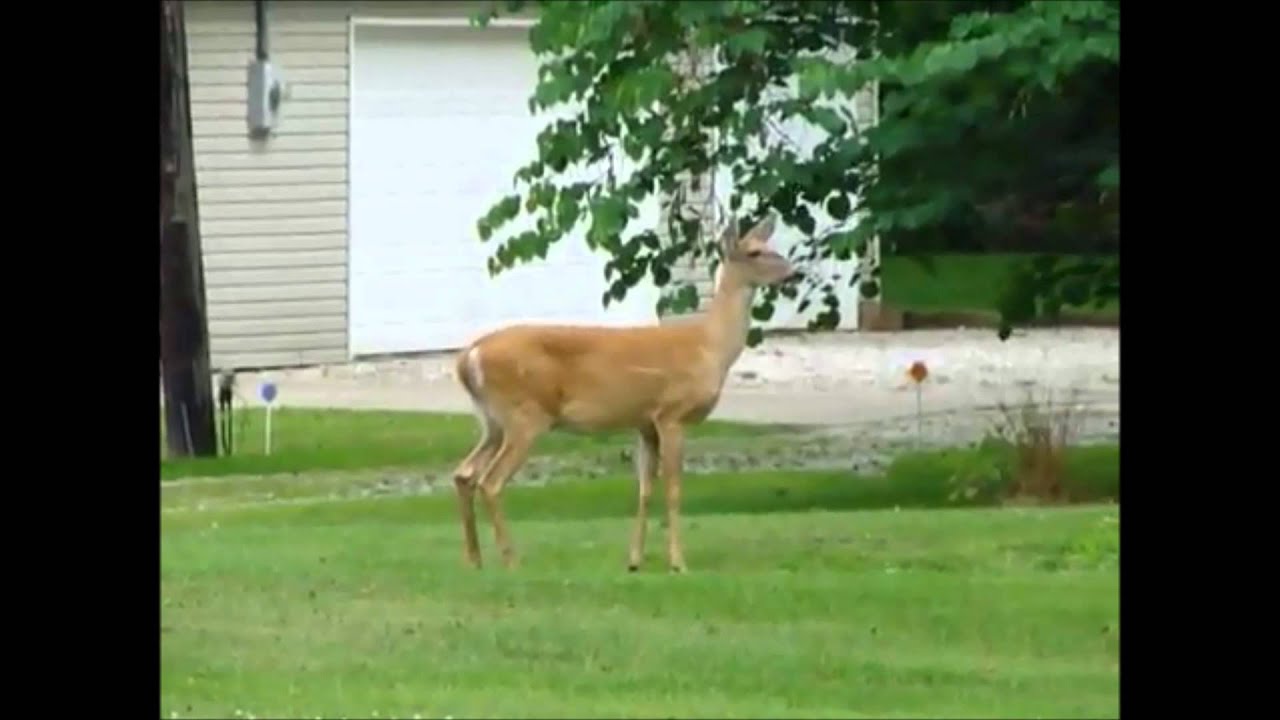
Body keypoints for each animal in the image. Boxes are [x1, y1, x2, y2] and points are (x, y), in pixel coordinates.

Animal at [451, 213, 795, 573]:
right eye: (755, 252)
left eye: (772, 246)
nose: (793, 272)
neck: (709, 346)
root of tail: (468, 357)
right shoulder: (672, 414)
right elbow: (673, 489)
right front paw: (678, 563)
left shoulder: (645, 423)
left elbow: (645, 489)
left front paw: (634, 561)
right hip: (525, 415)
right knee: (491, 481)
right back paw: (511, 560)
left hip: (492, 420)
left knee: (464, 474)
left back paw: (474, 560)